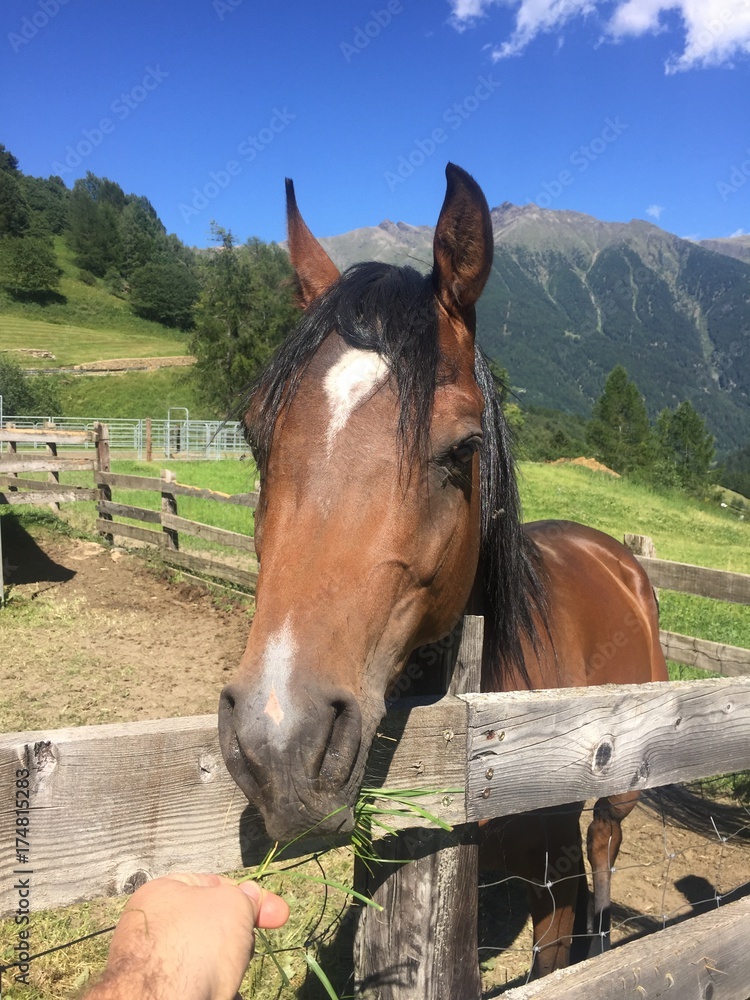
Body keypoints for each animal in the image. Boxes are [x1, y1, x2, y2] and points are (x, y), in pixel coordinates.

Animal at [218, 163, 668, 977]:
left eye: (463, 448)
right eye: (255, 431)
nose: (280, 745)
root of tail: (617, 554)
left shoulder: (550, 874)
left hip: (619, 788)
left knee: (605, 842)